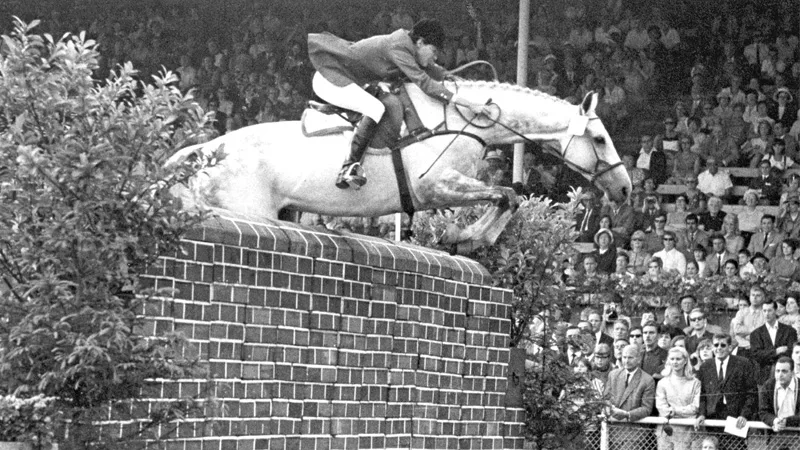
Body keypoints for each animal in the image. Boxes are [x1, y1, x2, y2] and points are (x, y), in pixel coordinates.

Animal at [167, 81, 631, 248]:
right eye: (600, 139)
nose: (625, 189)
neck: (464, 119)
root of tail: (201, 153)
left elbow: (507, 196)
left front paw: (466, 238)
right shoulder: (435, 186)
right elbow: (507, 195)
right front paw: (465, 238)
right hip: (248, 209)